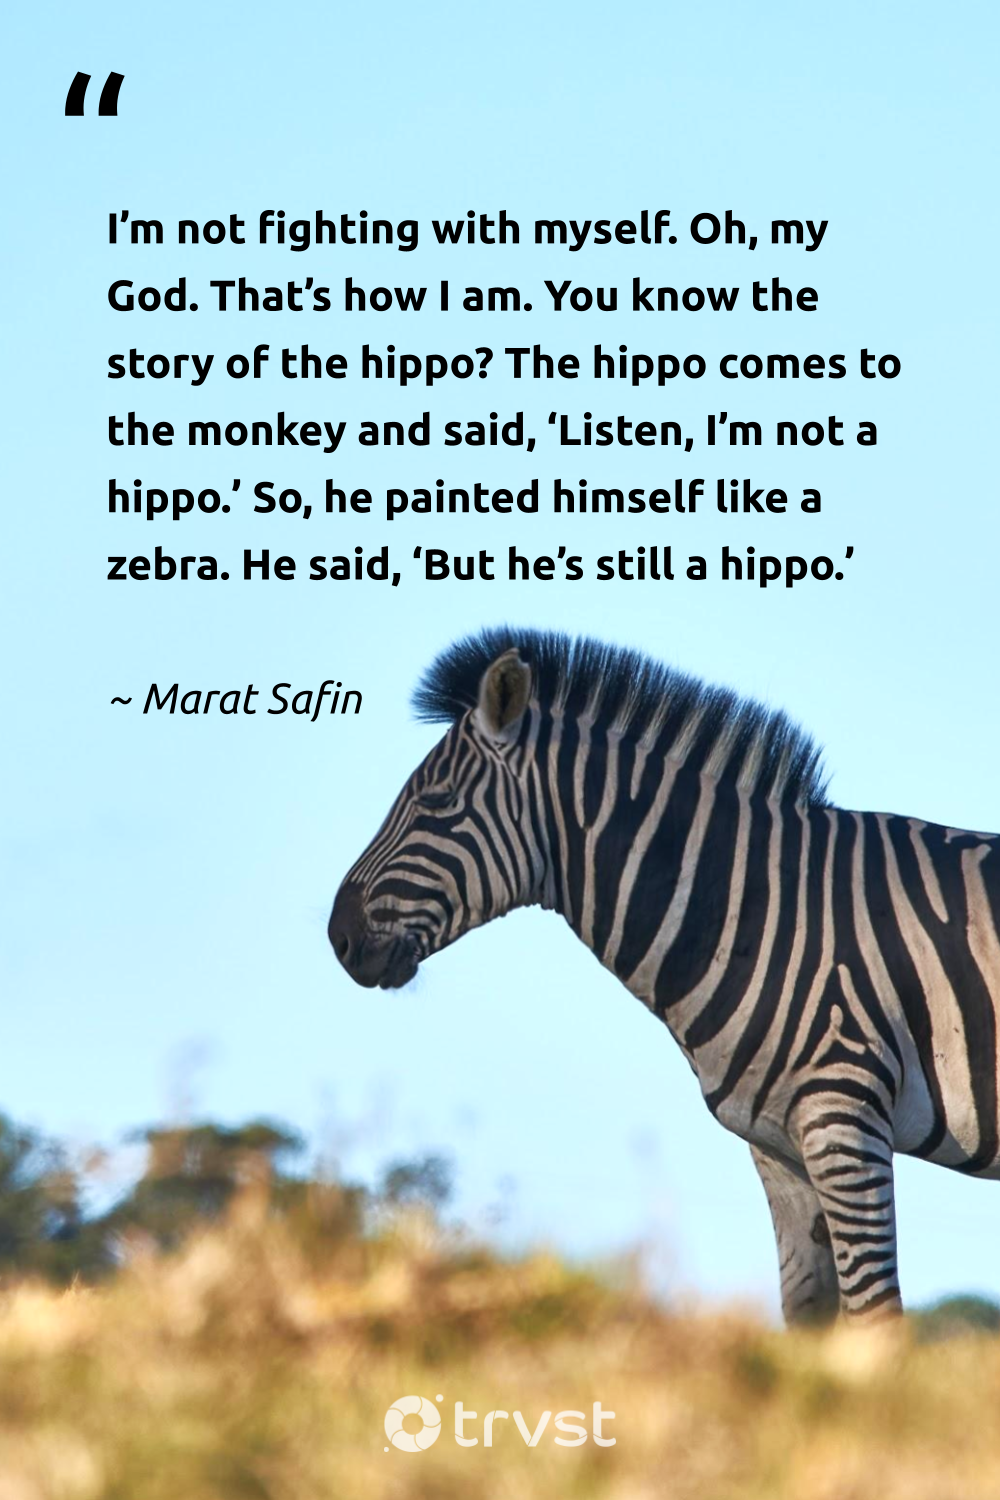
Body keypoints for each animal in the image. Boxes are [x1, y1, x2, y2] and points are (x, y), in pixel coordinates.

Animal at [329, 628, 1000, 1324]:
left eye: (435, 802)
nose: (338, 937)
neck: (757, 907)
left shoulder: (845, 1118)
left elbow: (875, 1317)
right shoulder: (780, 1147)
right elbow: (806, 1318)